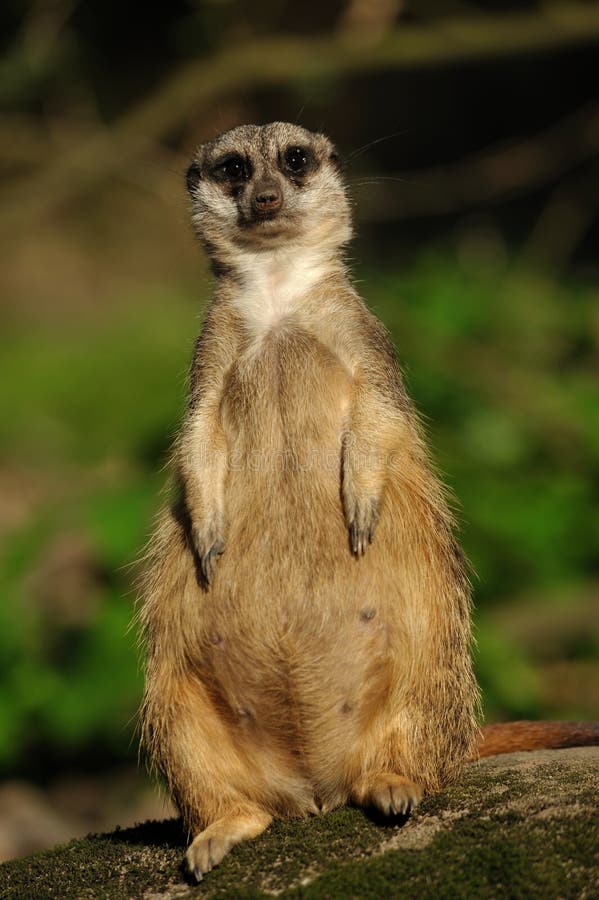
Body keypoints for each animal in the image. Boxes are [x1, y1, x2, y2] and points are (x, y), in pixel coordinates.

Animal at [138, 122, 598, 881]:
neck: (278, 298)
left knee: (417, 716)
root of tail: (315, 783)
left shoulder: (365, 336)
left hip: (432, 651)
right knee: (193, 746)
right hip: (174, 697)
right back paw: (221, 827)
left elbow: (379, 413)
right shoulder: (210, 351)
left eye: (294, 159)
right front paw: (205, 529)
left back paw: (393, 783)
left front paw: (357, 499)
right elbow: (197, 433)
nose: (266, 197)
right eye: (233, 168)